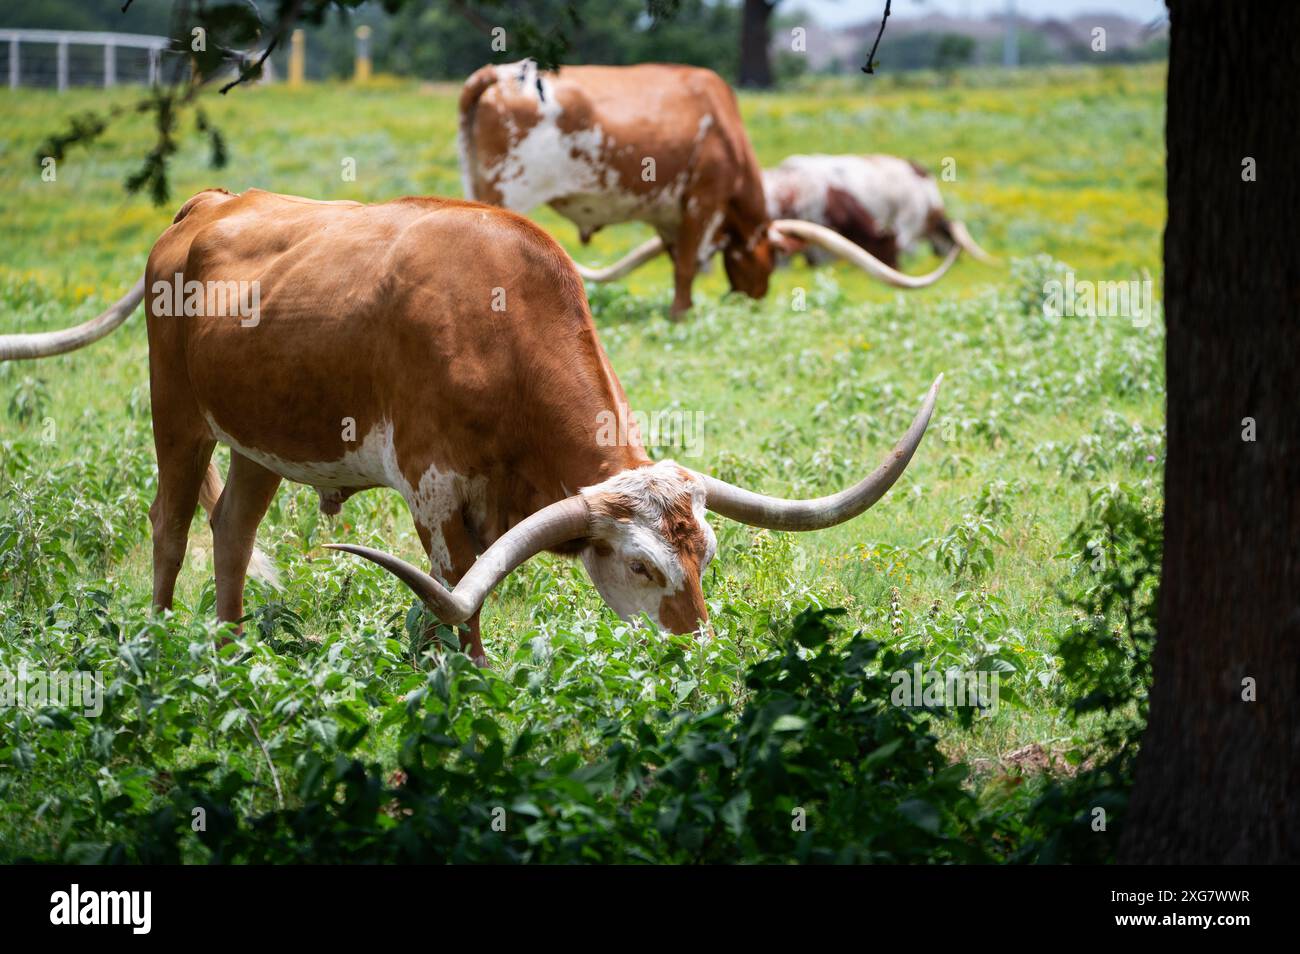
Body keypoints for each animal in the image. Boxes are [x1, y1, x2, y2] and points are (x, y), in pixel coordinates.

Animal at [0, 188, 942, 666]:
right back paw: (164, 642)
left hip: (261, 436)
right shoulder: (433, 492)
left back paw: (232, 651)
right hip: (179, 416)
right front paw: (470, 685)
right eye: (641, 565)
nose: (699, 654)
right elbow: (458, 598)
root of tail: (205, 205)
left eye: (705, 553)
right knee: (169, 524)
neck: (503, 328)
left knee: (231, 529)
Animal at [457, 60, 958, 318]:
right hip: (507, 192)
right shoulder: (701, 200)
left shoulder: (669, 216)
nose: (754, 298)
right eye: (772, 255)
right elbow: (685, 266)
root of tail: (501, 73)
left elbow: (684, 261)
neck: (724, 126)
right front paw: (682, 312)